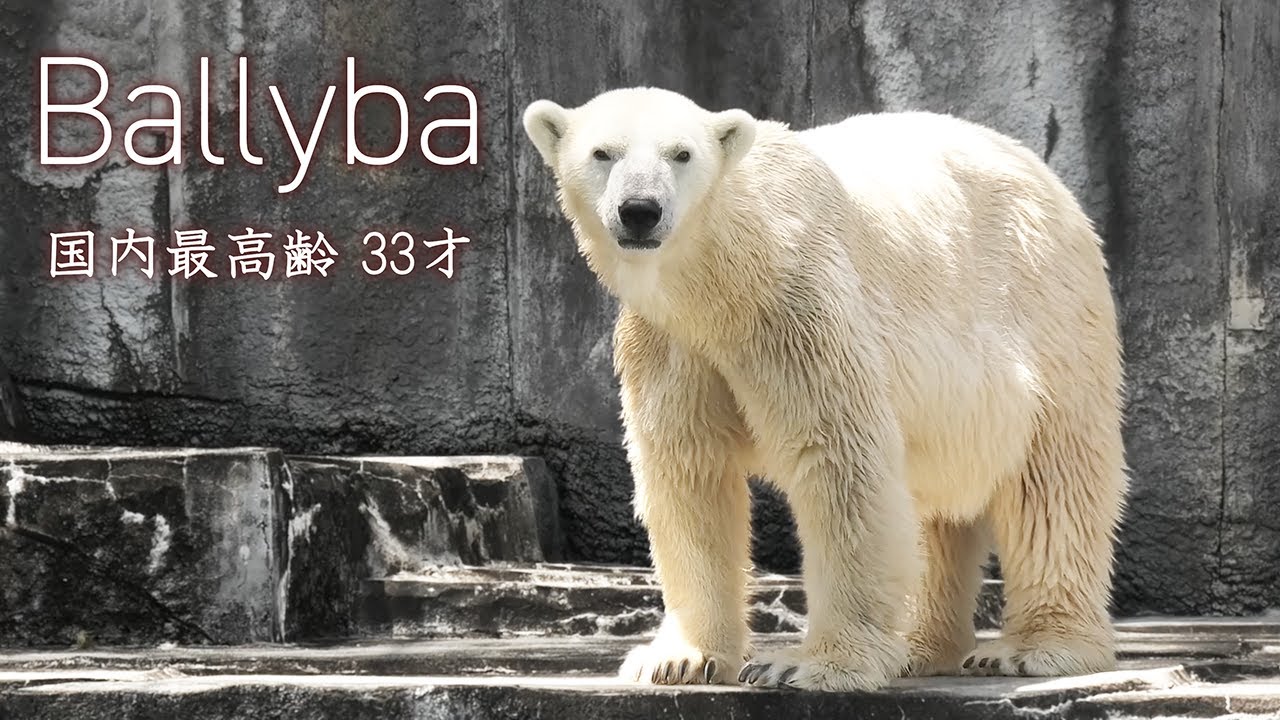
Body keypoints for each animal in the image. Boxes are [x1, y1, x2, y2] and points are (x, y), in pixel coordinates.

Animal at [521, 87, 1128, 692]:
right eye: (603, 152)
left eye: (681, 154)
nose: (640, 210)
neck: (723, 282)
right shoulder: (672, 343)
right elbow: (690, 474)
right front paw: (678, 659)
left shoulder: (797, 309)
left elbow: (839, 458)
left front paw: (814, 664)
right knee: (934, 504)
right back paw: (920, 647)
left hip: (1047, 313)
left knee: (1055, 480)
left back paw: (1037, 648)